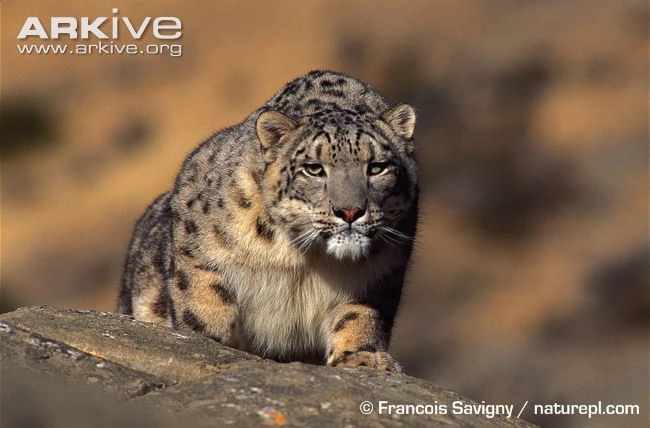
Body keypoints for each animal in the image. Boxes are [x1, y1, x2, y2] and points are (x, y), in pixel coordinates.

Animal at [117, 70, 418, 371]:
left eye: (377, 167)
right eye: (313, 169)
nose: (350, 211)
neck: (308, 259)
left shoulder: (378, 275)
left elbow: (359, 314)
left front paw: (362, 357)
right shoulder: (195, 244)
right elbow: (202, 296)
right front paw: (209, 339)